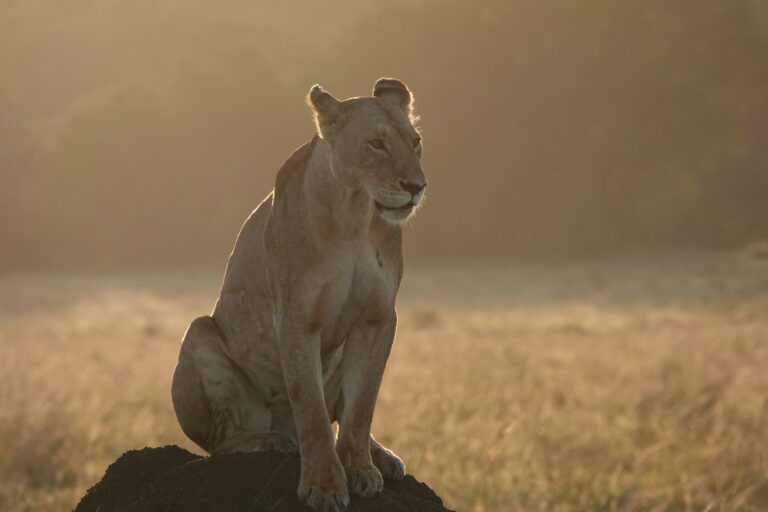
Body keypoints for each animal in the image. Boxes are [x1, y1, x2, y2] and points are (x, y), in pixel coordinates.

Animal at [171, 78, 427, 512]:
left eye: (416, 142)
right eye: (376, 144)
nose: (416, 187)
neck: (355, 215)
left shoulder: (378, 318)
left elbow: (361, 407)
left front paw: (361, 469)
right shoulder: (295, 319)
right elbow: (312, 411)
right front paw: (324, 487)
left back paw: (385, 457)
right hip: (199, 333)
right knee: (224, 441)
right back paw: (271, 441)